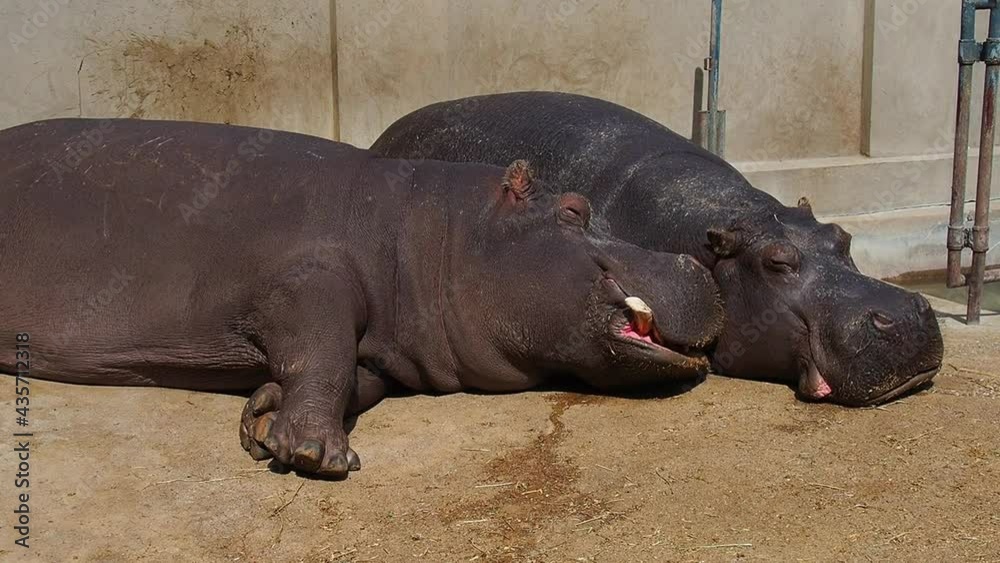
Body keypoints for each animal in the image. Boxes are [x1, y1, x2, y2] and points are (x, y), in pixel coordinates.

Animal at [0, 118, 723, 478]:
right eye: (575, 208)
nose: (693, 255)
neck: (435, 231)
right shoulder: (306, 279)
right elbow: (323, 350)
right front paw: (318, 456)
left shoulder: (380, 347)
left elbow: (350, 373)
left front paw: (262, 416)